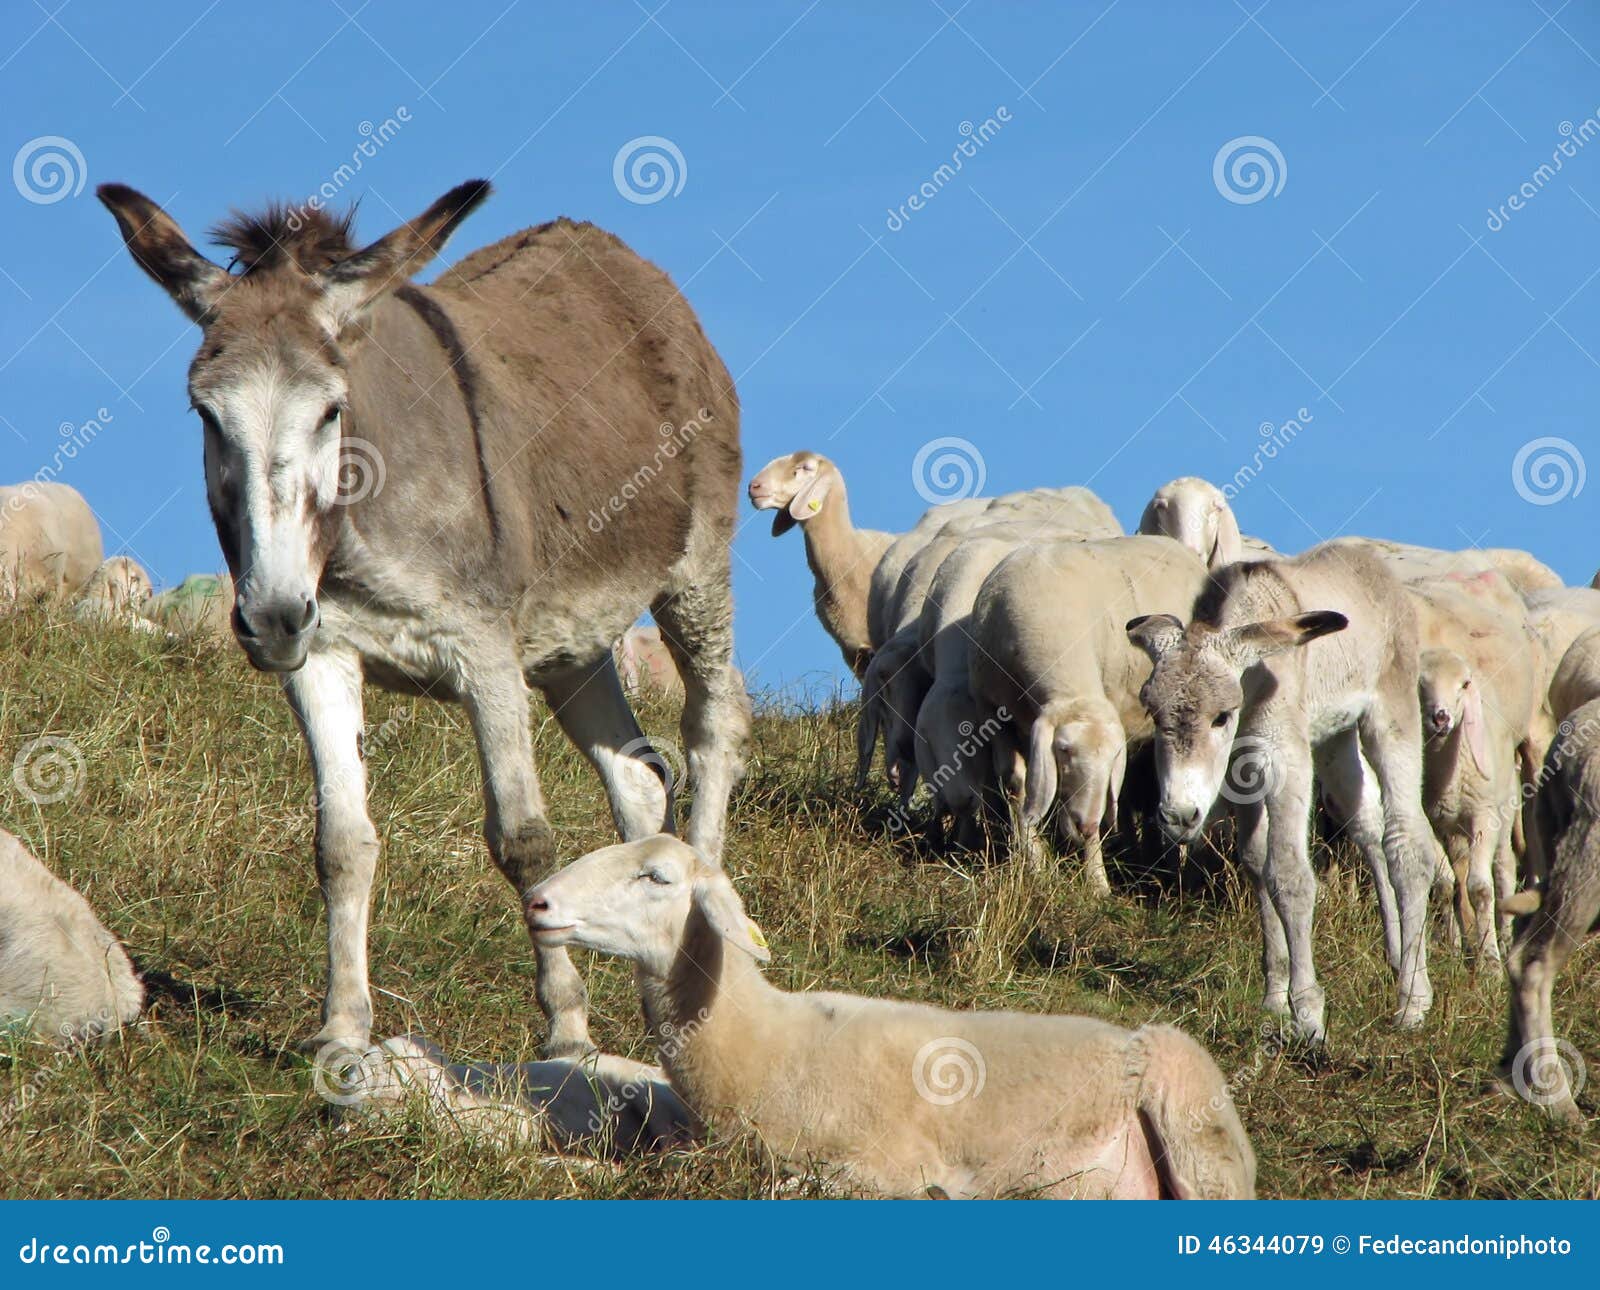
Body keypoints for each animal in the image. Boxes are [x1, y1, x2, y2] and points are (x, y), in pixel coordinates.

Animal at [525, 834, 1257, 1199]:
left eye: (657, 878)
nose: (536, 901)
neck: (766, 1042)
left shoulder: (889, 1168)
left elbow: (795, 1188)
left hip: (1194, 1118)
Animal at [969, 535, 1210, 892]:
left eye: (1111, 760)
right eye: (1063, 750)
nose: (1085, 823)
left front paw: (1097, 882)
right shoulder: (990, 711)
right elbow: (1016, 784)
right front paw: (1033, 862)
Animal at [1128, 542, 1440, 1042]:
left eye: (1220, 716)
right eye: (1154, 714)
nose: (1179, 816)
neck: (1253, 685)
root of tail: (1370, 562)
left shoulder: (1284, 759)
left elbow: (1289, 874)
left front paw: (1308, 1014)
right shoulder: (1241, 773)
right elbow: (1256, 863)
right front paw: (1274, 998)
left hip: (1390, 718)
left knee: (1407, 843)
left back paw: (1412, 1002)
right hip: (1335, 740)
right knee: (1369, 829)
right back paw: (1397, 960)